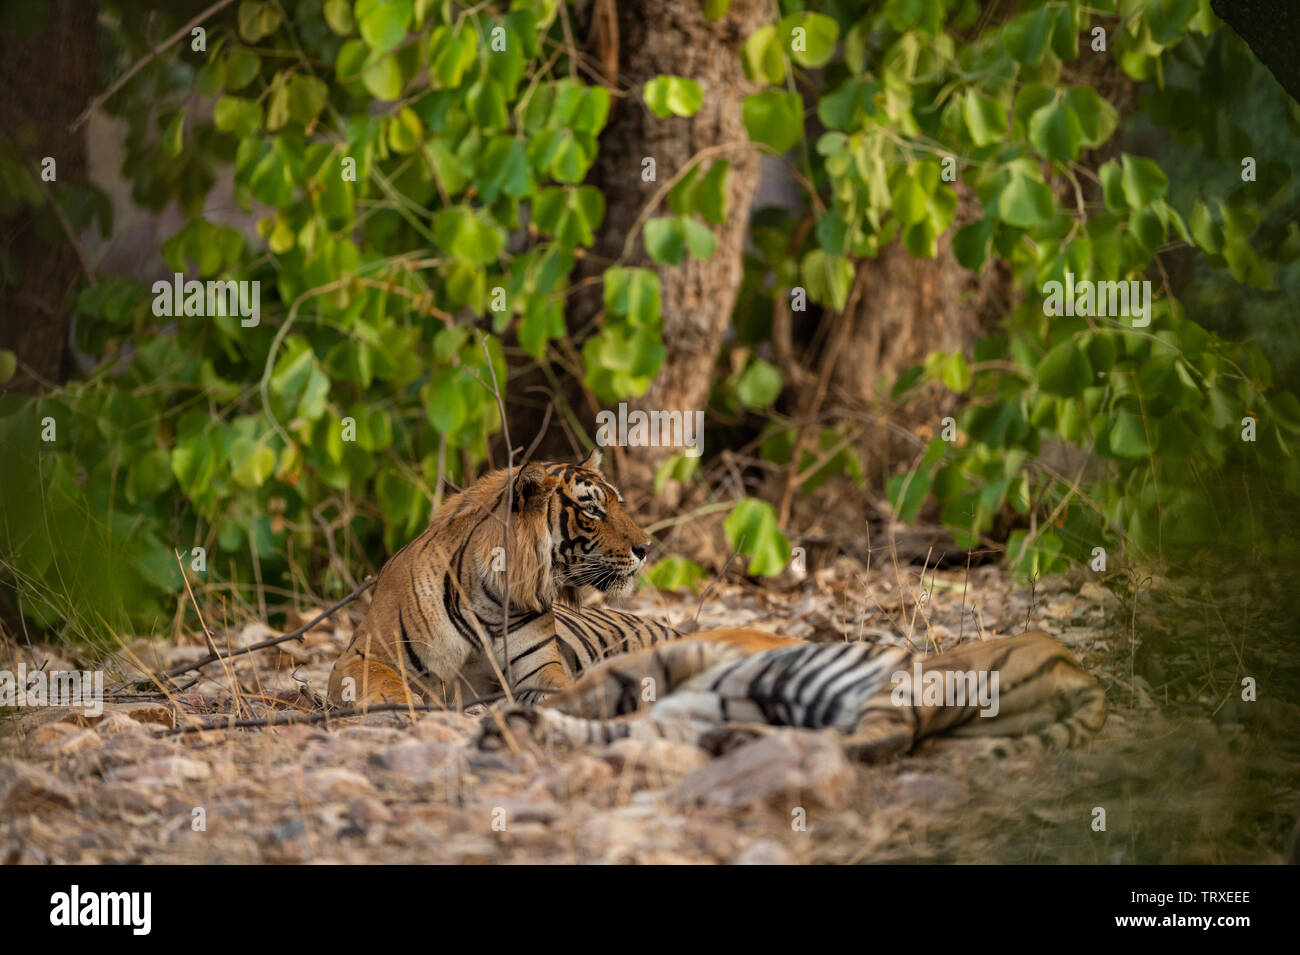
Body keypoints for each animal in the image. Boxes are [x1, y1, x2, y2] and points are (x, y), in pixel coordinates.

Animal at [326, 450, 682, 708]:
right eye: (593, 510)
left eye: (618, 504)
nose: (647, 547)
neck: (488, 597)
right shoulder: (363, 655)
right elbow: (383, 679)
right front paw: (404, 702)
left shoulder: (537, 667)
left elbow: (557, 685)